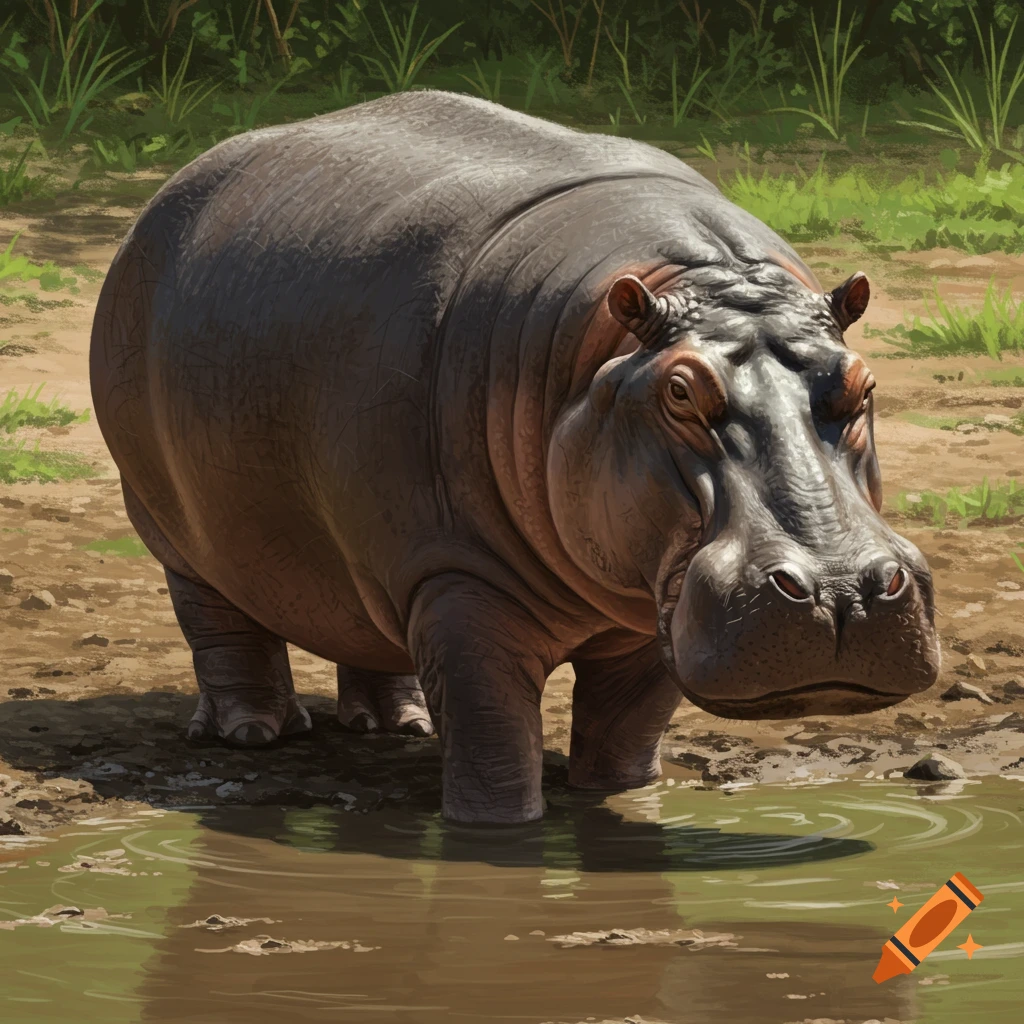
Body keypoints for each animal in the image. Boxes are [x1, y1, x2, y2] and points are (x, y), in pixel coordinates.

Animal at [90, 90, 940, 823]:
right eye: (678, 391)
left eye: (862, 382)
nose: (841, 593)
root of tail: (169, 191)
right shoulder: (459, 579)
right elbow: (494, 736)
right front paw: (498, 831)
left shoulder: (649, 601)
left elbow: (626, 728)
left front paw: (624, 800)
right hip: (172, 521)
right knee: (220, 621)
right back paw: (254, 730)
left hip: (374, 551)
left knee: (364, 622)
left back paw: (399, 724)